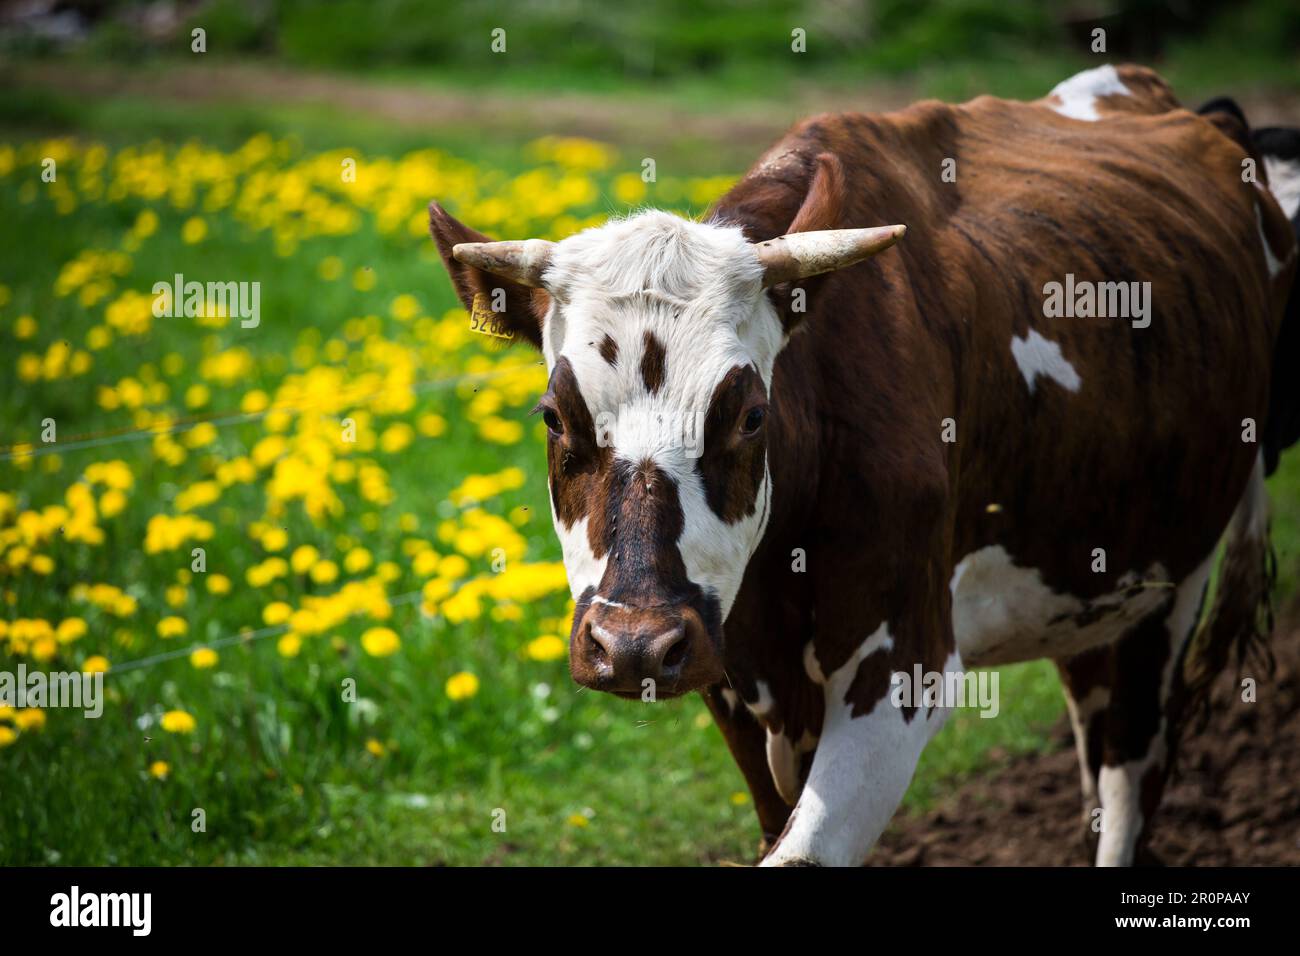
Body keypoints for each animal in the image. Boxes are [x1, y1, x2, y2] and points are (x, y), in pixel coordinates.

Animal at [428, 64, 1298, 866]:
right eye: (555, 417)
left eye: (750, 416)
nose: (635, 644)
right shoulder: (731, 678)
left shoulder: (903, 668)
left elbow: (806, 849)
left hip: (1171, 586)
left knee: (1129, 775)